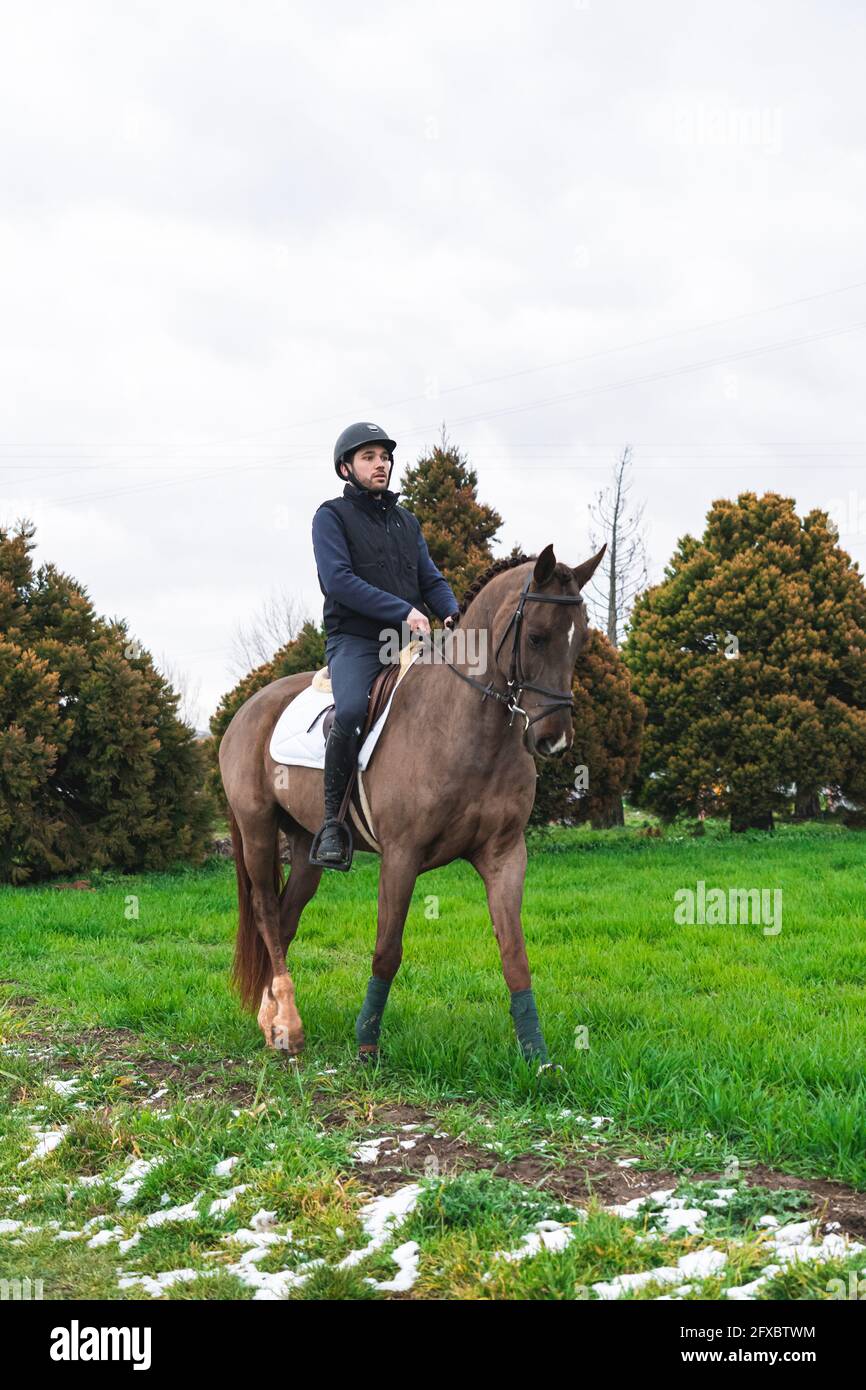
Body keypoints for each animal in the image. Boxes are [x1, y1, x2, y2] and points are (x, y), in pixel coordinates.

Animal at [218, 542, 605, 1065]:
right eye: (538, 638)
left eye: (579, 639)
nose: (553, 741)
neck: (465, 727)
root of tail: (247, 709)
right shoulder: (401, 856)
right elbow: (387, 949)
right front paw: (366, 1044)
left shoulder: (505, 855)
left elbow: (515, 954)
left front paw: (537, 1055)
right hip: (257, 830)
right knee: (264, 911)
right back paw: (291, 1028)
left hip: (304, 847)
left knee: (283, 918)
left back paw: (273, 1022)